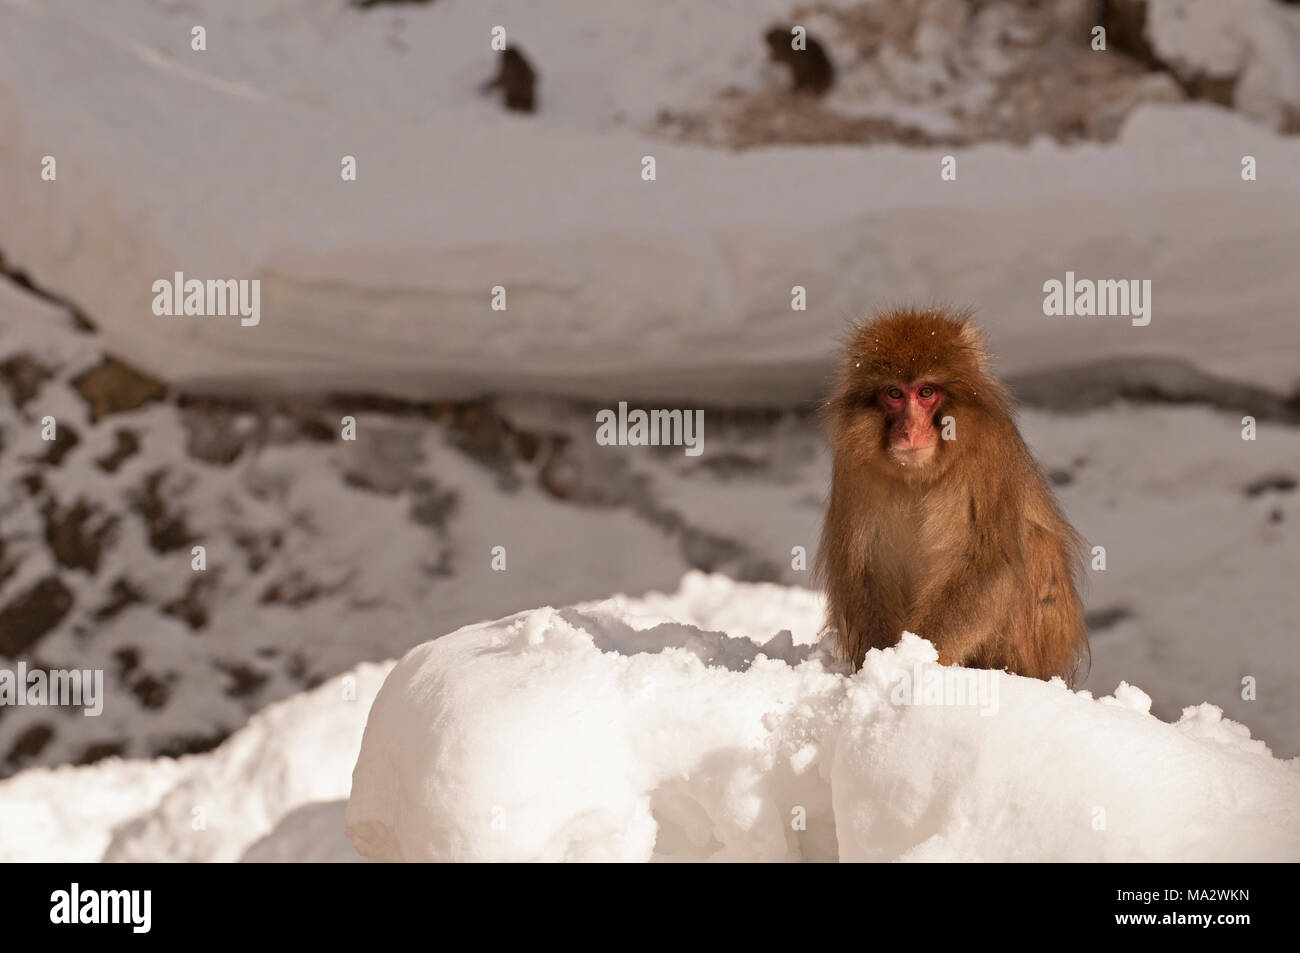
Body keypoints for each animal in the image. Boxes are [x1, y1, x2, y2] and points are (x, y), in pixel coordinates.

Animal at [814, 308, 1087, 684]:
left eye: (926, 391)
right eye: (894, 393)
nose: (910, 430)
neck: (919, 474)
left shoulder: (988, 453)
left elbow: (989, 565)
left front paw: (905, 663)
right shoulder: (853, 464)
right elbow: (862, 567)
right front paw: (879, 661)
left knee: (1035, 543)